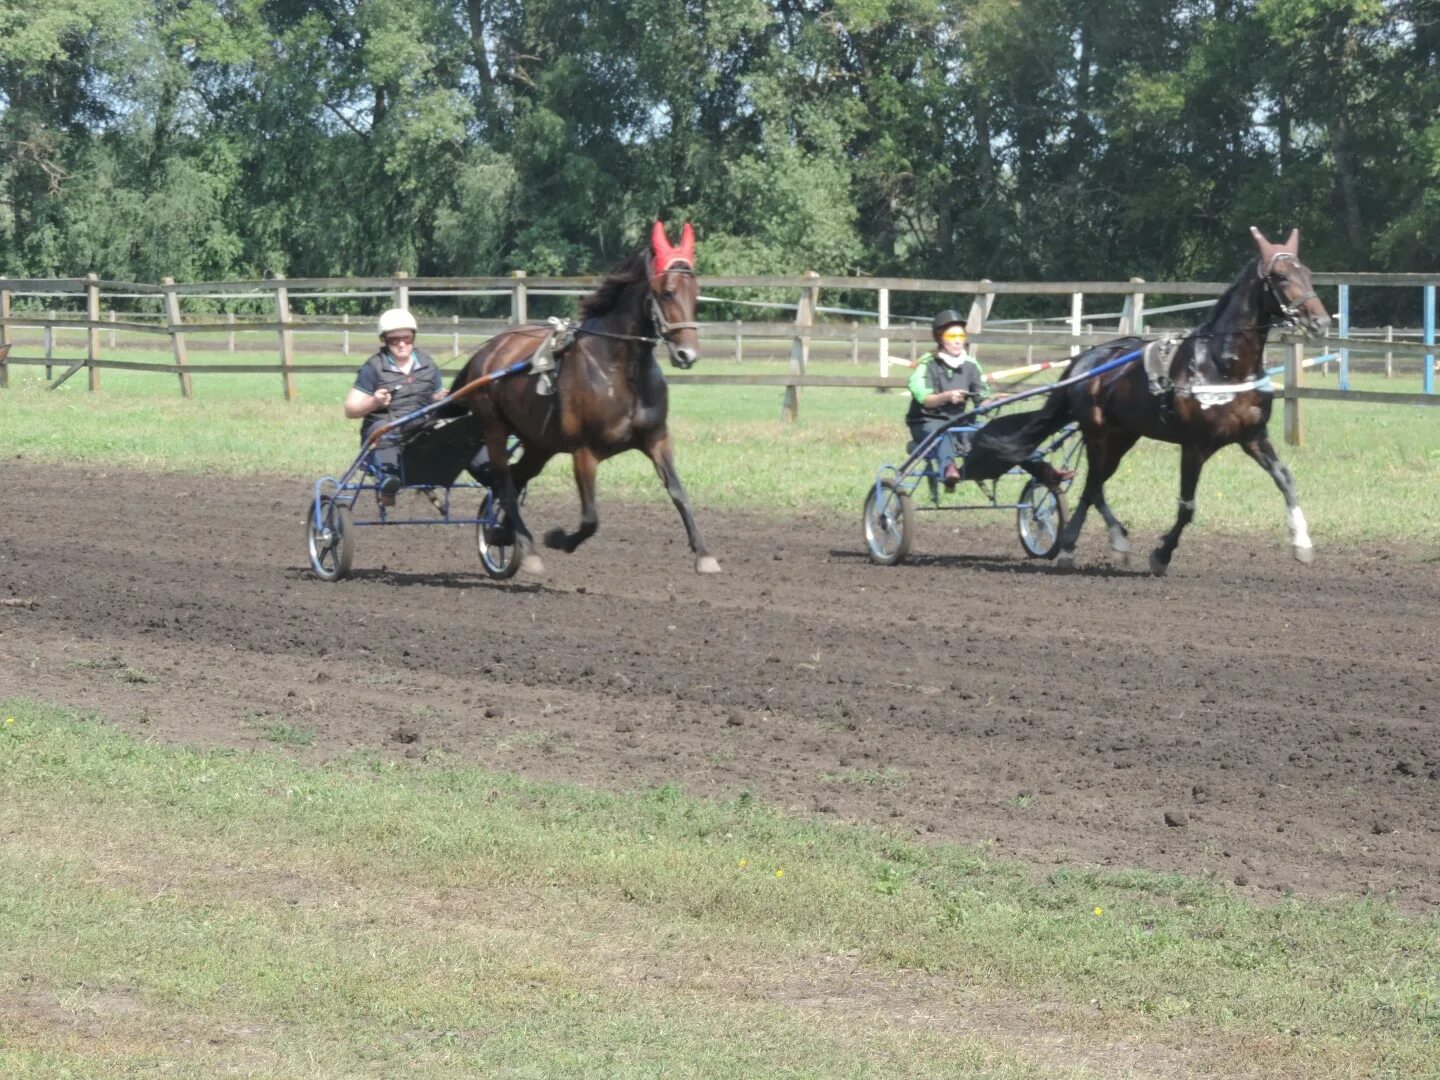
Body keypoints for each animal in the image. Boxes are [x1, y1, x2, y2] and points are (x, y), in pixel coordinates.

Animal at [449, 217, 720, 576]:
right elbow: (591, 519)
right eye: (667, 292)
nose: (687, 354)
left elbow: (678, 492)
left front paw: (704, 553)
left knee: (516, 478)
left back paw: (501, 532)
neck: (620, 369)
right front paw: (557, 538)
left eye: (696, 293)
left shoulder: (657, 438)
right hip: (494, 428)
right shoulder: (584, 451)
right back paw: (522, 546)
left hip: (539, 443)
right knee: (505, 483)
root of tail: (487, 351)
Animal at [973, 228, 1330, 576]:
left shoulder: (1253, 436)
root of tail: (1085, 361)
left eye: (1307, 273)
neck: (1221, 365)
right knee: (1094, 485)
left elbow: (1285, 479)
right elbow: (1187, 507)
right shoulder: (1194, 446)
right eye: (1281, 276)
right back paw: (1088, 544)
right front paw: (1161, 555)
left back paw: (1086, 543)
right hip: (1098, 434)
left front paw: (1302, 542)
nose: (1320, 322)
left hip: (1123, 436)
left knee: (1093, 485)